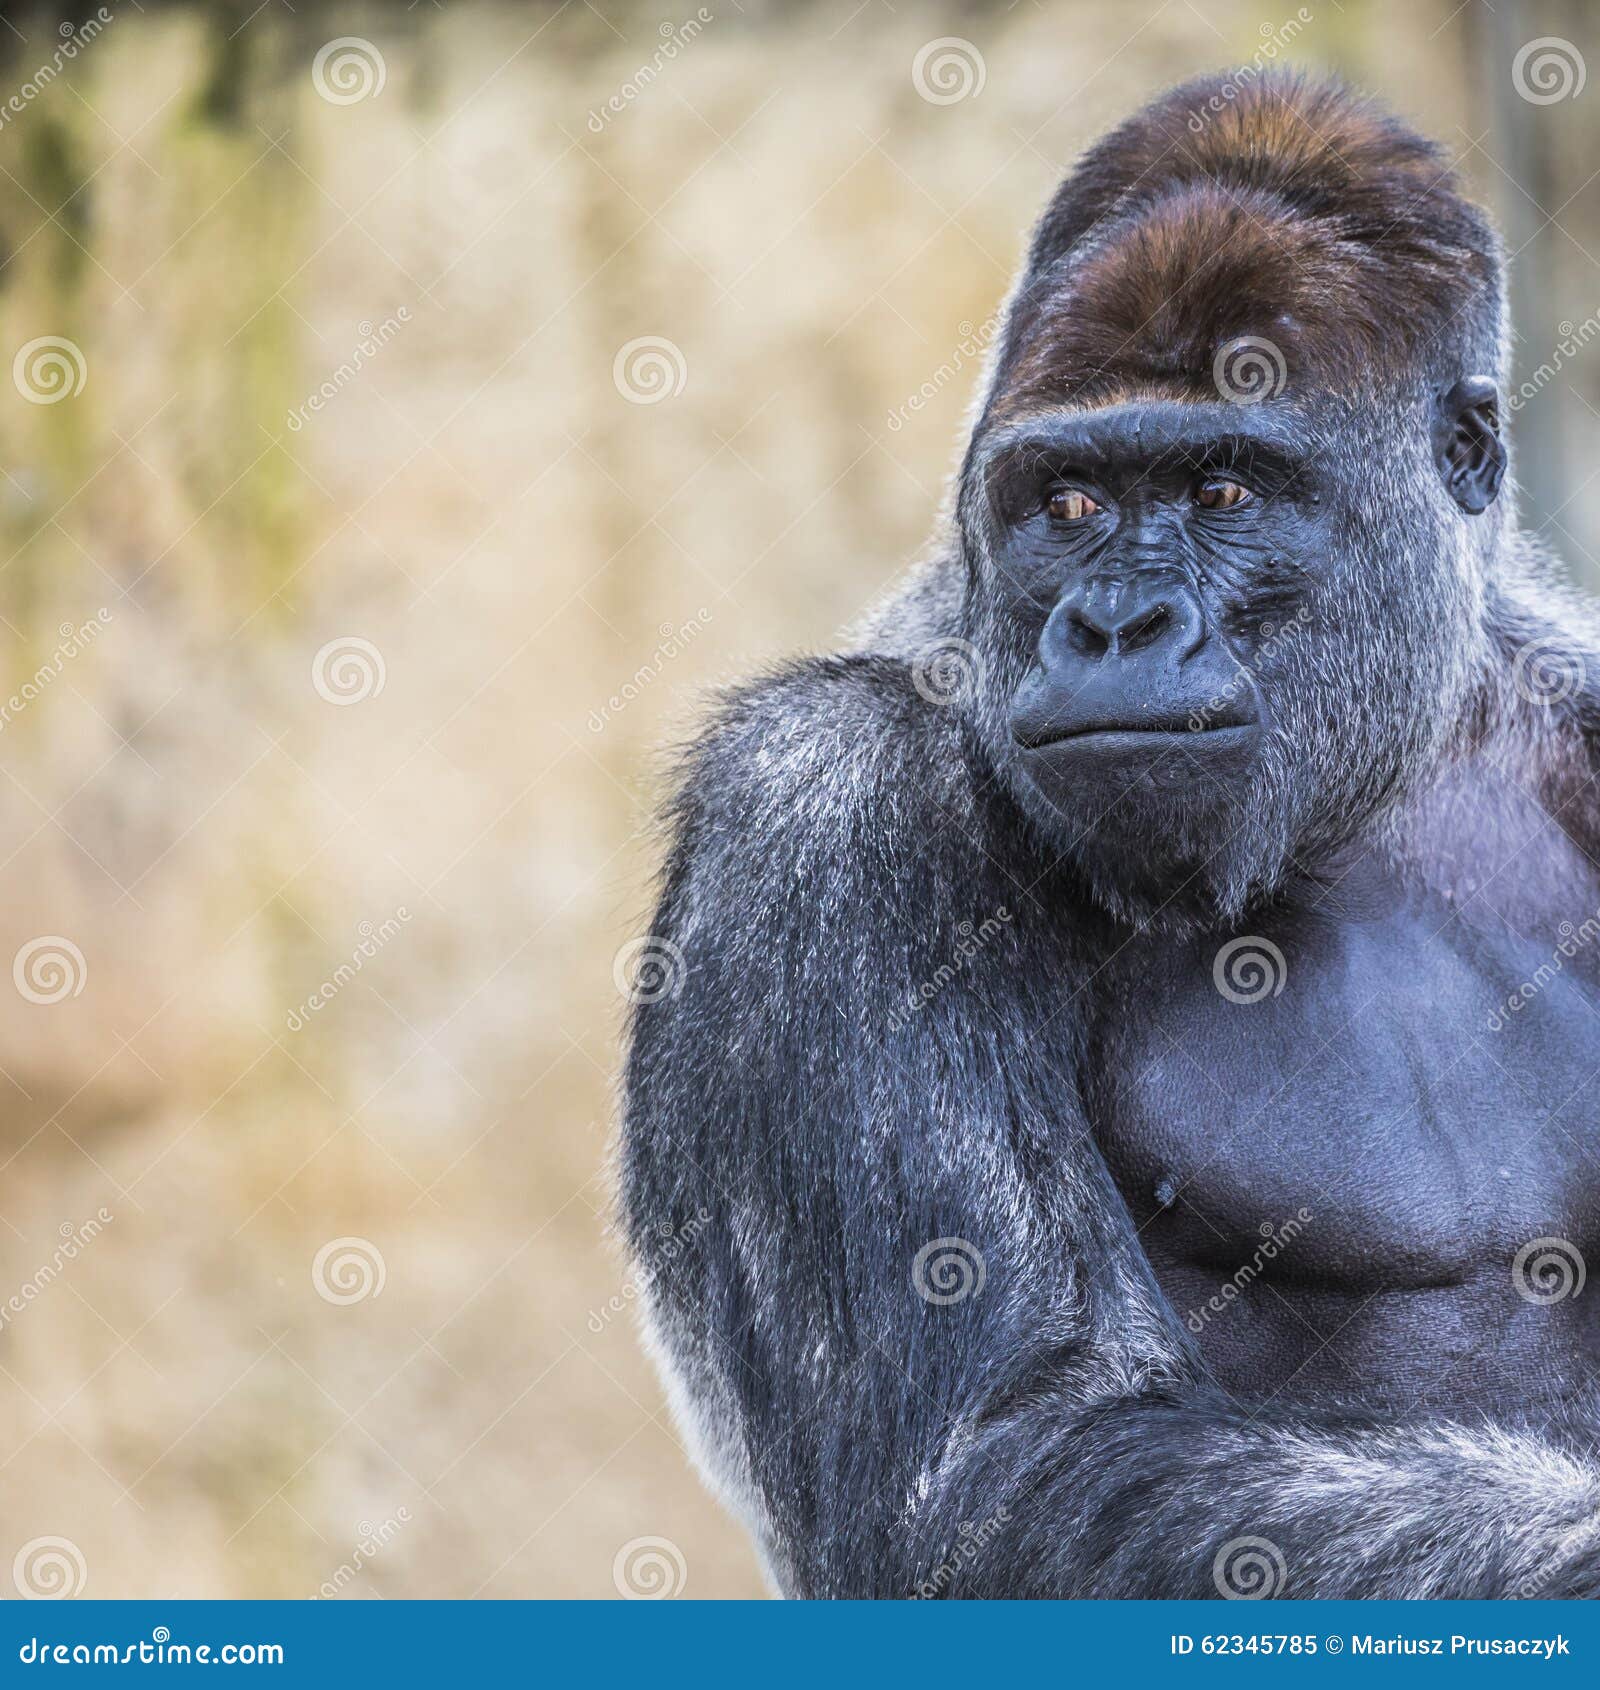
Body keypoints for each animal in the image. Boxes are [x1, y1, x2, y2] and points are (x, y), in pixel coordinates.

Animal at [619, 70, 1600, 1598]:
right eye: (1068, 504)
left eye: (1222, 492)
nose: (1115, 625)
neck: (1373, 785)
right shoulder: (819, 803)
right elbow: (1014, 1455)